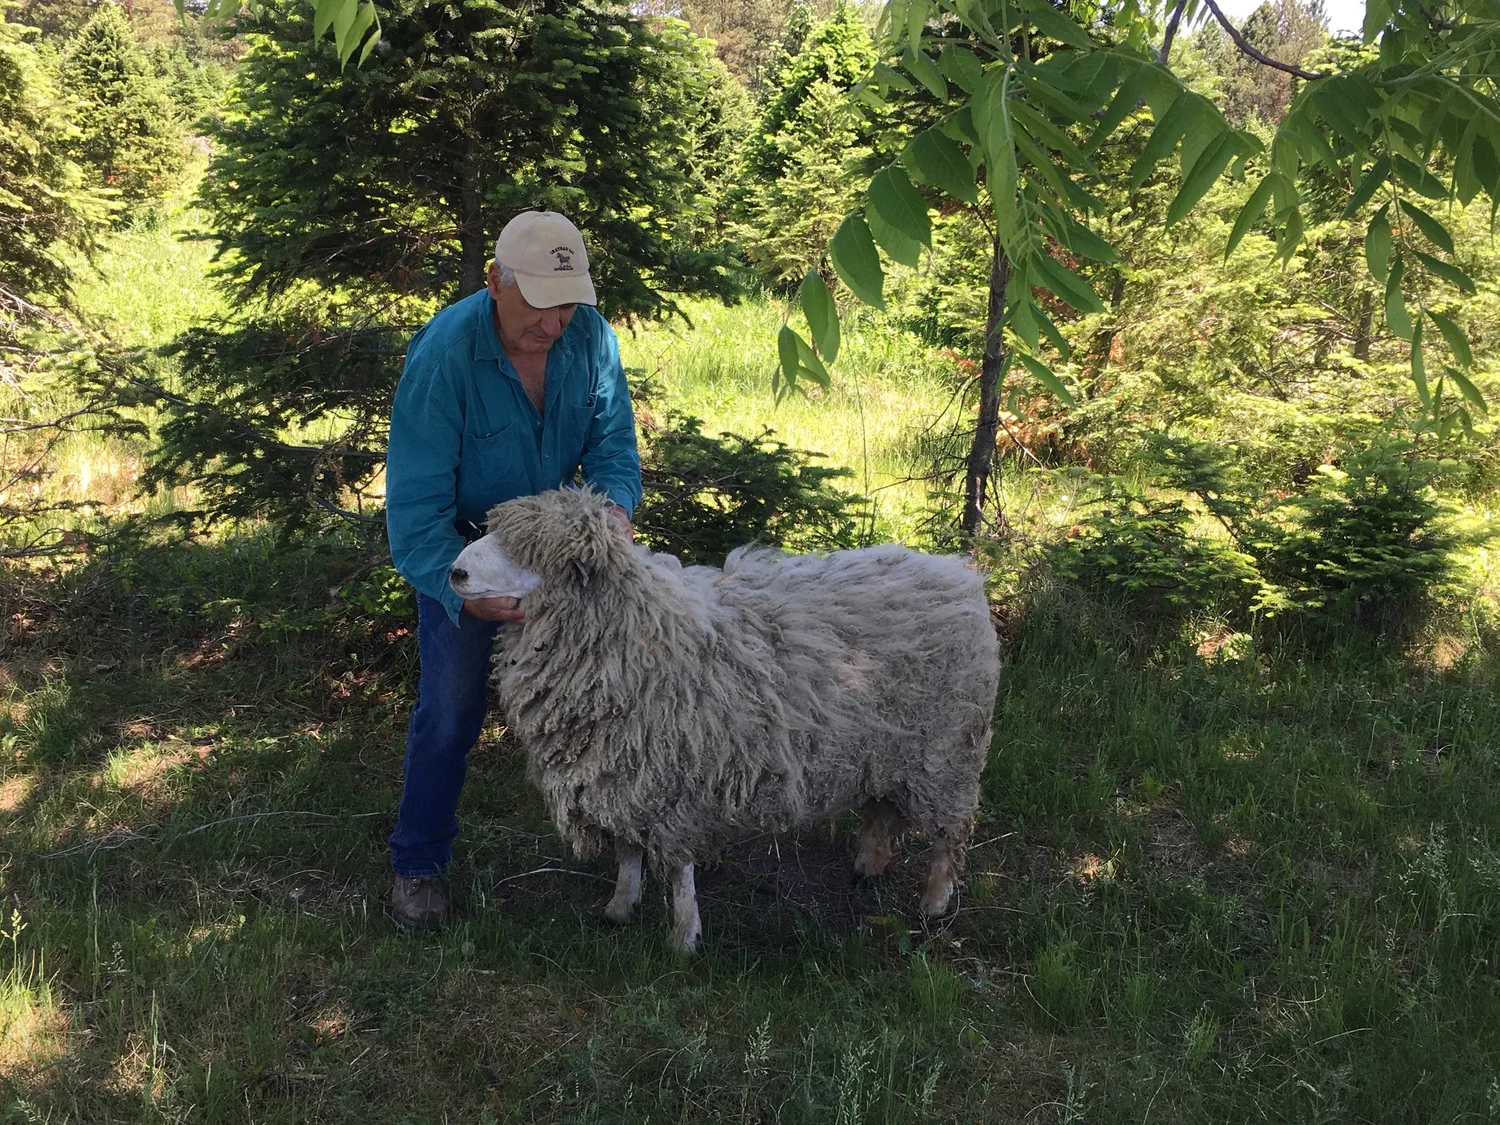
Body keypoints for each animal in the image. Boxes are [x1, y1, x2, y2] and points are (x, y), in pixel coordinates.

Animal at [449, 487, 1002, 952]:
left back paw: (934, 902)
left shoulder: (673, 783)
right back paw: (869, 863)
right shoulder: (620, 770)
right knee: (881, 808)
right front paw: (620, 907)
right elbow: (627, 849)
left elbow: (678, 871)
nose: (454, 572)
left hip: (948, 750)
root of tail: (961, 573)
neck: (641, 632)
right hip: (886, 744)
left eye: (532, 551)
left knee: (952, 833)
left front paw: (682, 937)